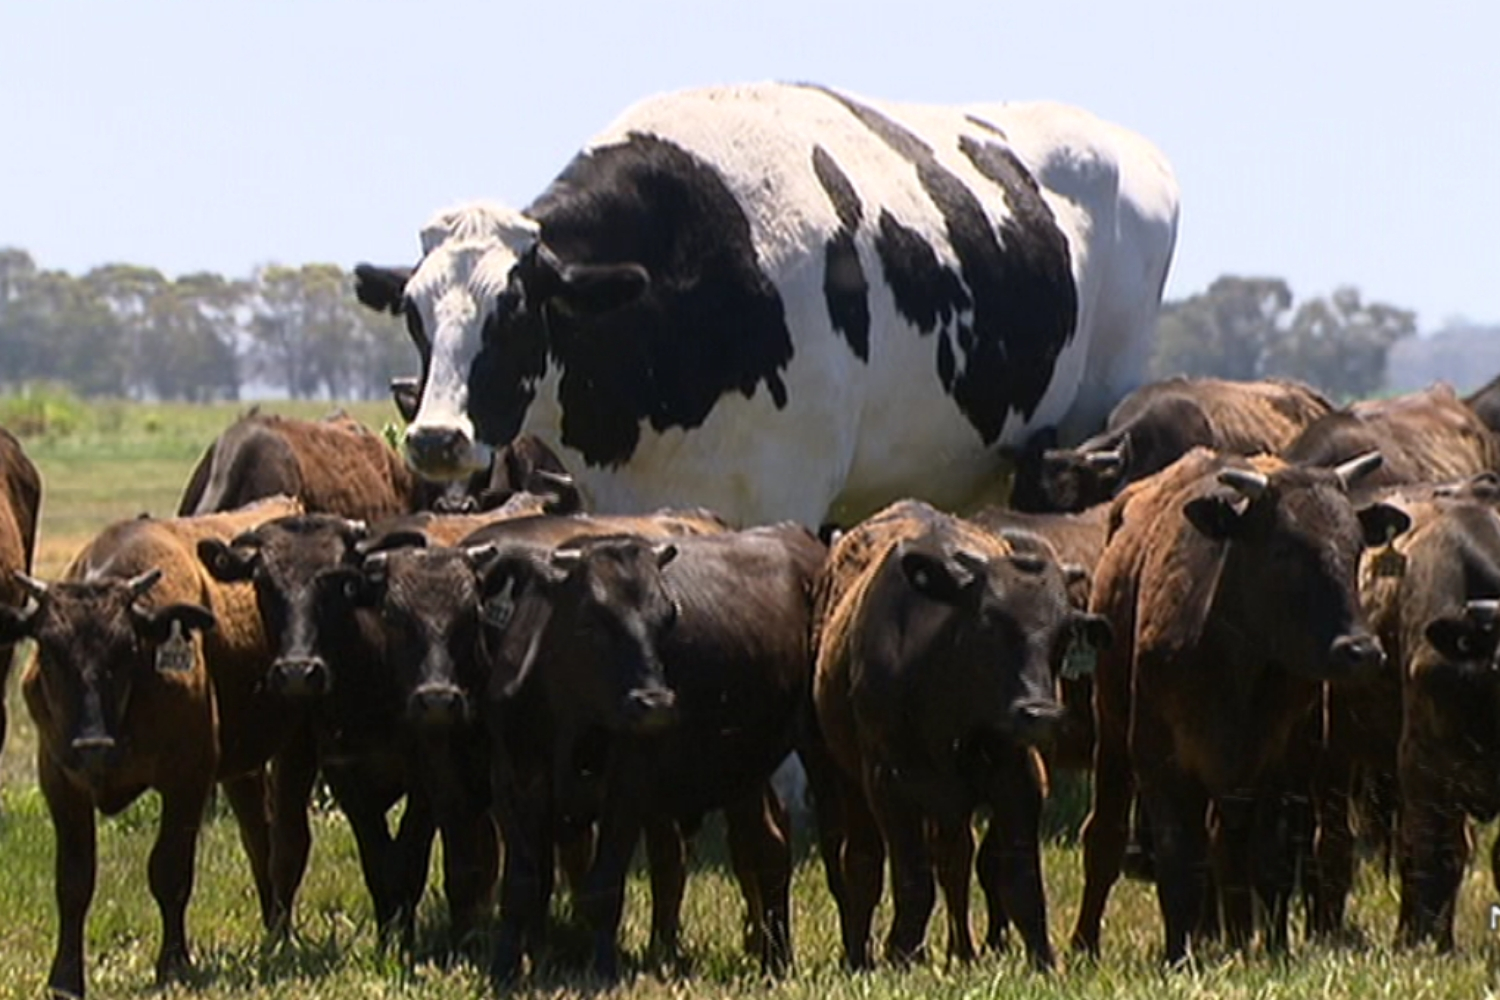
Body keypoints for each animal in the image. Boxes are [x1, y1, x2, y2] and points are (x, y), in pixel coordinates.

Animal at [0, 496, 312, 999]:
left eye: (126, 648)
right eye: (49, 650)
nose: (92, 744)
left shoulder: (187, 779)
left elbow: (169, 872)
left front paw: (173, 964)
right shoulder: (60, 780)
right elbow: (73, 881)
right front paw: (65, 978)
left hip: (298, 742)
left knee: (288, 839)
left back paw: (282, 934)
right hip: (241, 769)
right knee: (258, 835)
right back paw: (271, 928)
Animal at [467, 522, 825, 982]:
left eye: (668, 616)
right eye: (590, 619)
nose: (654, 704)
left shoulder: (628, 785)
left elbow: (603, 887)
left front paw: (604, 969)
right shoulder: (513, 779)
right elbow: (522, 884)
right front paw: (504, 967)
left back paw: (778, 959)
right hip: (743, 772)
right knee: (767, 845)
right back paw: (772, 958)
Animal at [811, 499, 1111, 970]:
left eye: (1064, 635)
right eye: (988, 622)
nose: (1040, 713)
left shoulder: (1018, 776)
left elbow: (1021, 880)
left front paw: (1043, 960)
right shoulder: (888, 783)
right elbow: (912, 880)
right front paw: (900, 953)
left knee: (954, 860)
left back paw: (962, 952)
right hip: (848, 779)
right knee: (863, 863)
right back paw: (859, 955)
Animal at [1068, 449, 1410, 964]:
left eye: (1355, 549)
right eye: (1284, 550)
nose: (1361, 650)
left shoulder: (1282, 763)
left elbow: (1269, 859)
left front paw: (1274, 949)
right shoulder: (1160, 759)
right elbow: (1178, 857)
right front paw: (1178, 954)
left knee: (1228, 847)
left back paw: (1231, 936)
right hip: (1110, 730)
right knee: (1105, 836)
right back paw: (1087, 943)